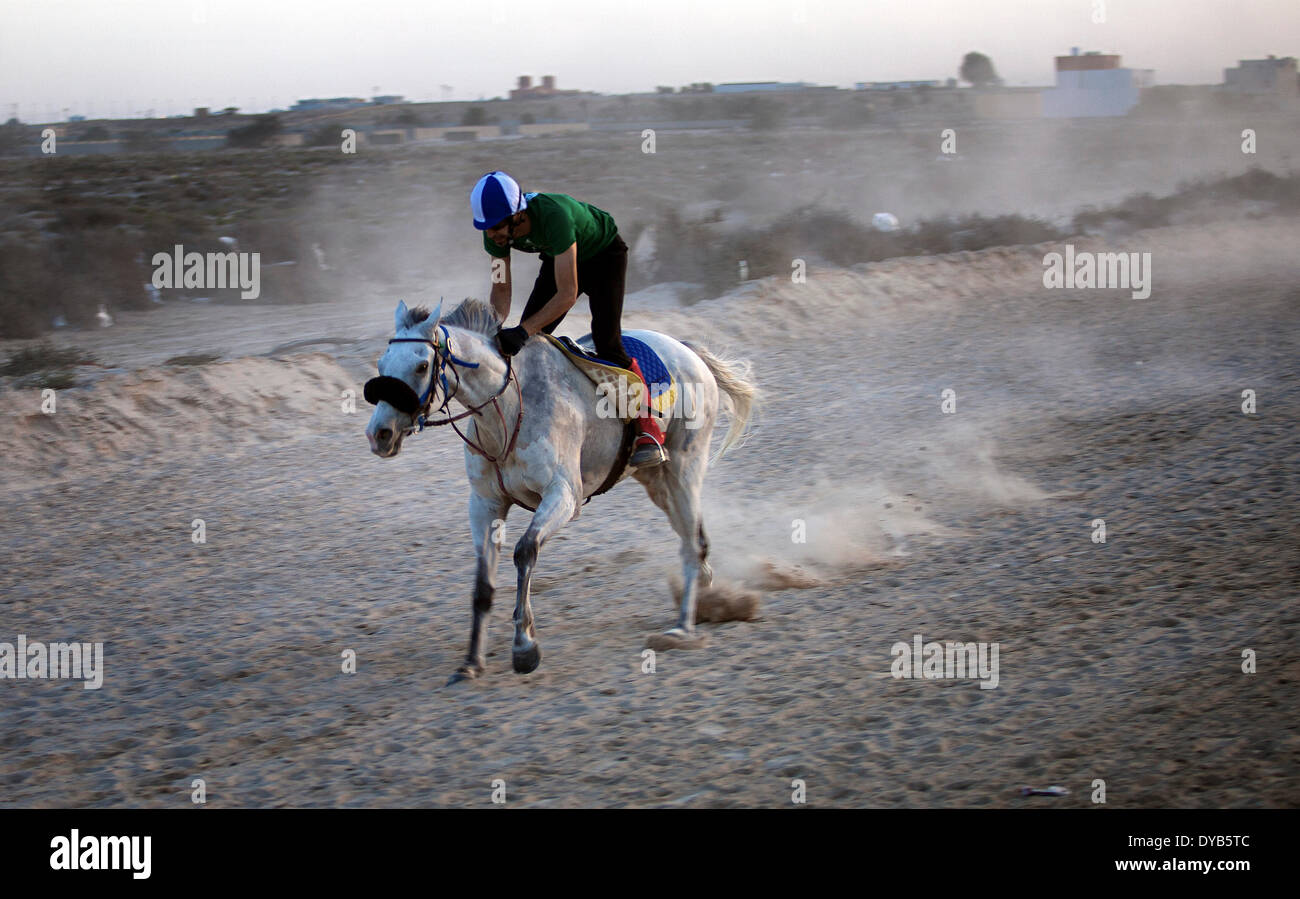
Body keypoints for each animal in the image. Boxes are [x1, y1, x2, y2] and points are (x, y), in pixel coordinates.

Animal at [364, 298, 758, 681]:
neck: (508, 410)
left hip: (684, 469)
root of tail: (688, 351)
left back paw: (682, 628)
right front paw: (471, 661)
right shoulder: (485, 505)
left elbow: (525, 552)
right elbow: (482, 585)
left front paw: (524, 647)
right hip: (656, 481)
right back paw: (705, 589)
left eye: (421, 366)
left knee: (690, 543)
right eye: (382, 363)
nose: (379, 434)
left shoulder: (563, 496)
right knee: (694, 535)